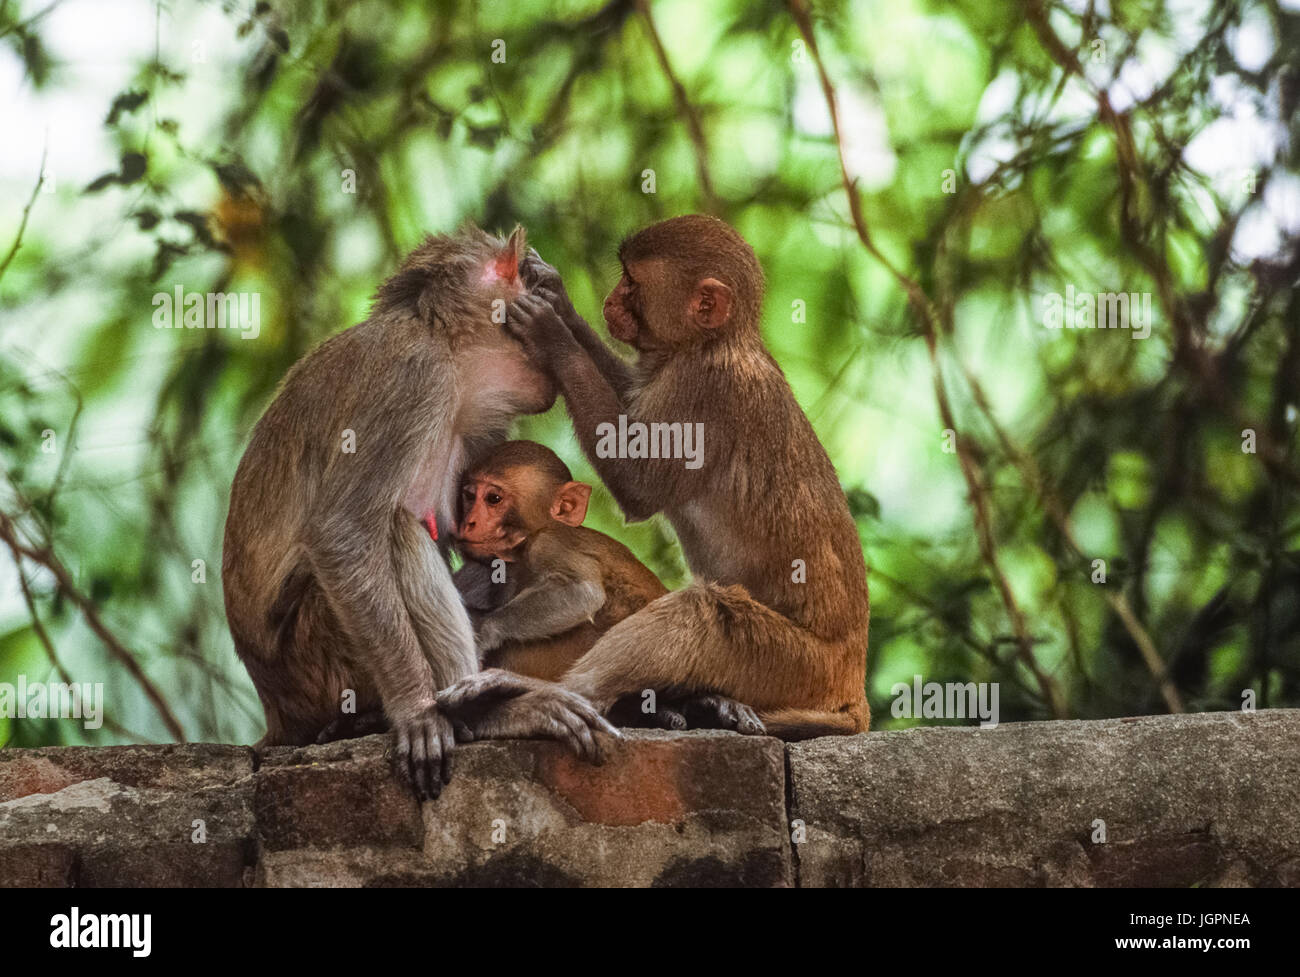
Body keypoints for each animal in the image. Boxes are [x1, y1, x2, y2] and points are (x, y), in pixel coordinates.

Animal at [222, 225, 616, 800]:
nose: (565, 319)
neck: (448, 347)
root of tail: (279, 711)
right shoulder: (414, 381)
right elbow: (343, 532)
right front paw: (417, 711)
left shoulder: (476, 424)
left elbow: (477, 549)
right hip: (320, 660)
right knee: (398, 532)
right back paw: (484, 712)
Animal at [438, 216, 870, 741]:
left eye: (632, 283)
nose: (611, 299)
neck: (711, 343)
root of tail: (852, 688)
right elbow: (630, 398)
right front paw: (560, 300)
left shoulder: (704, 388)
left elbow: (639, 483)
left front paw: (551, 332)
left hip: (796, 667)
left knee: (704, 614)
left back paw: (546, 691)